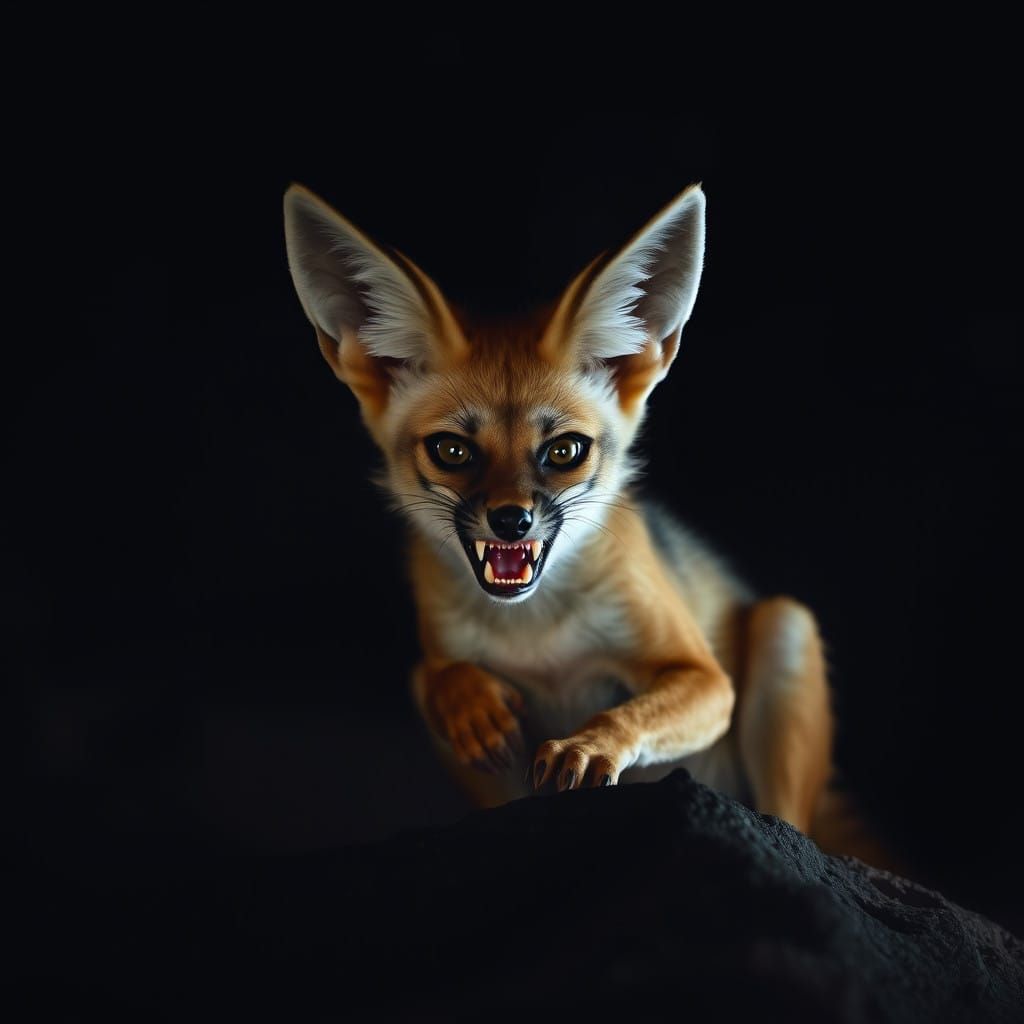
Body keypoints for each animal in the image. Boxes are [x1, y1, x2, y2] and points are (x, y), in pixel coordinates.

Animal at [283, 182, 875, 857]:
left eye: (564, 451)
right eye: (452, 451)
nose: (511, 522)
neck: (539, 639)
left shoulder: (703, 677)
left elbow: (633, 711)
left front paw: (590, 744)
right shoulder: (435, 660)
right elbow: (440, 676)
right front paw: (470, 702)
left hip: (786, 629)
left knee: (790, 820)